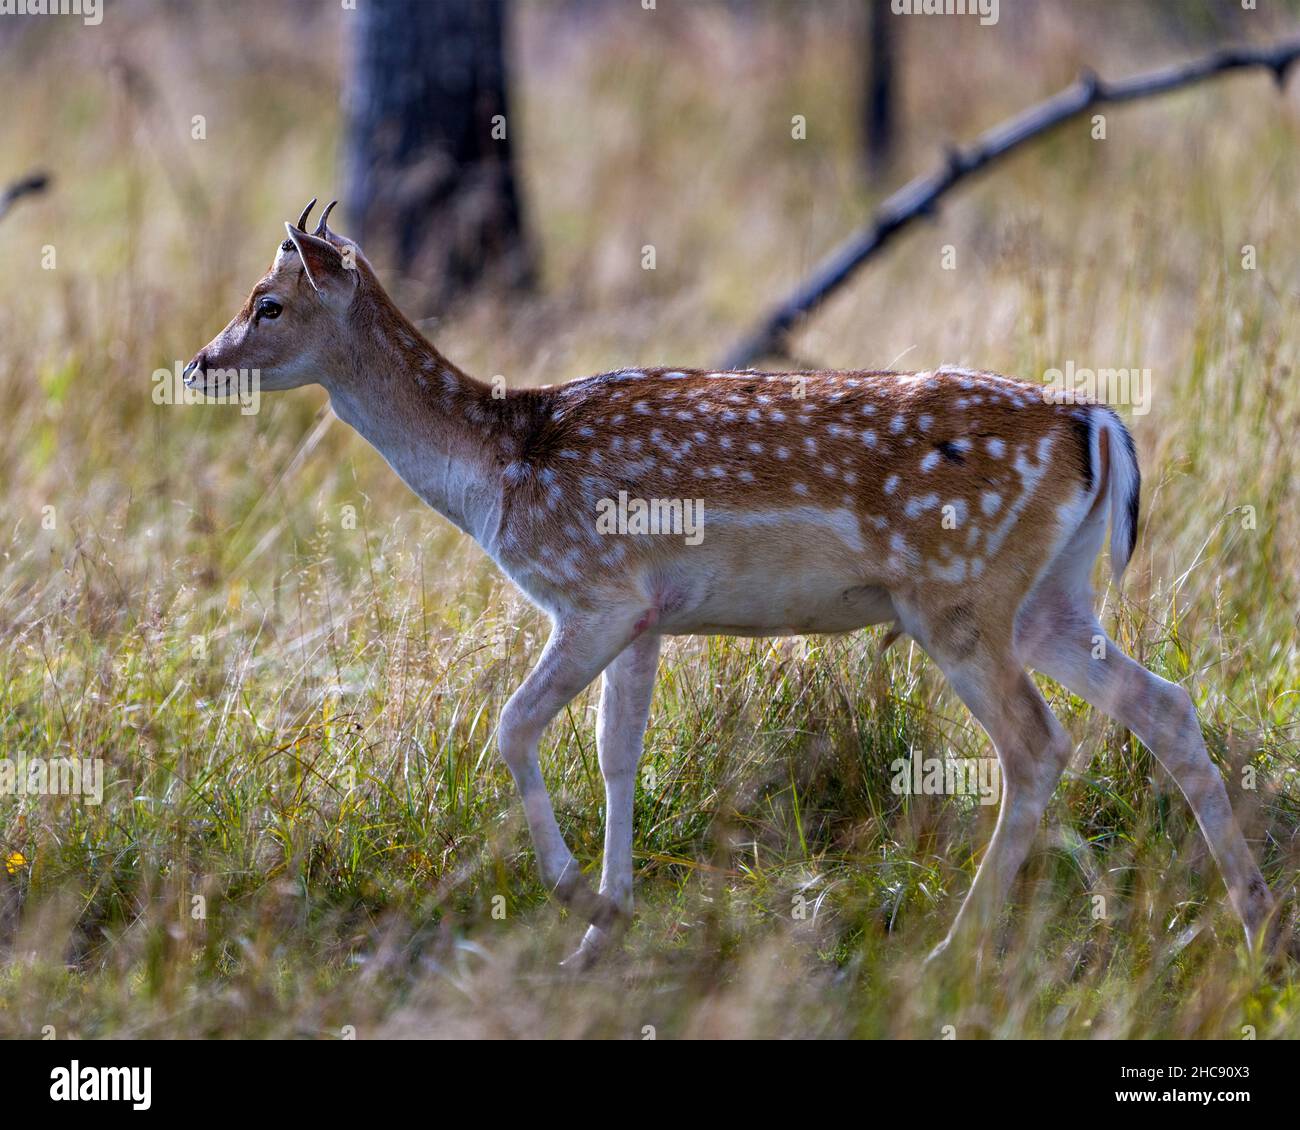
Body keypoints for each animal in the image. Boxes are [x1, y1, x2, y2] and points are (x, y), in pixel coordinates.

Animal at [184, 199, 1275, 969]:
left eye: (269, 303)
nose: (198, 363)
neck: (496, 470)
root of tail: (1095, 419)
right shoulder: (650, 617)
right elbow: (618, 752)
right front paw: (603, 929)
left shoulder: (596, 593)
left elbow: (514, 725)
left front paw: (578, 899)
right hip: (1048, 598)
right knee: (1164, 702)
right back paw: (1257, 920)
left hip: (956, 596)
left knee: (1038, 744)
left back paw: (955, 947)